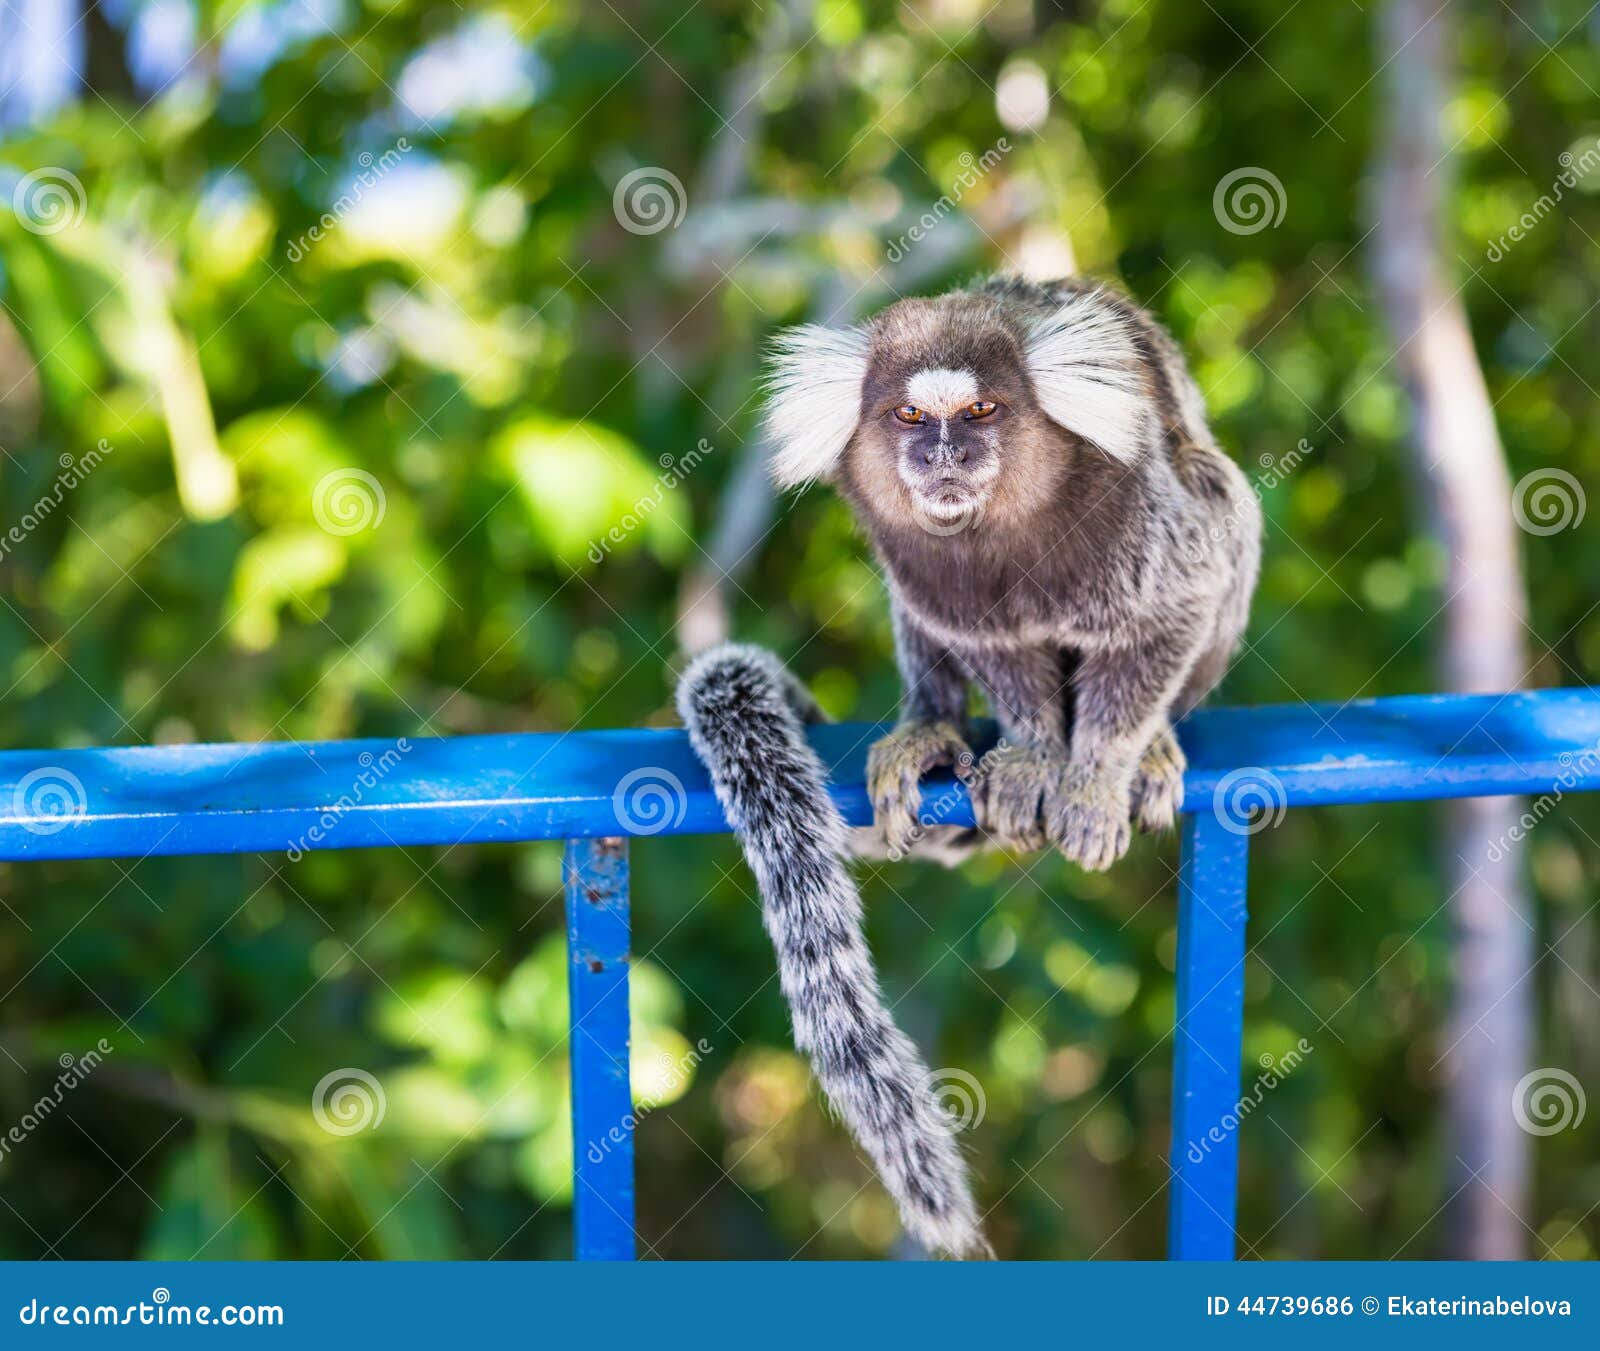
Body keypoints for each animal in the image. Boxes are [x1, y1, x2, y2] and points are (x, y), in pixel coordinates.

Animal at [764, 274, 1262, 870]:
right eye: (910, 414)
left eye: (980, 408)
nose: (945, 456)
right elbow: (999, 654)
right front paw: (1032, 759)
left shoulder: (1140, 512)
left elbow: (1170, 618)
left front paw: (1095, 782)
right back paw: (930, 724)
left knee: (1217, 487)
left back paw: (1157, 743)